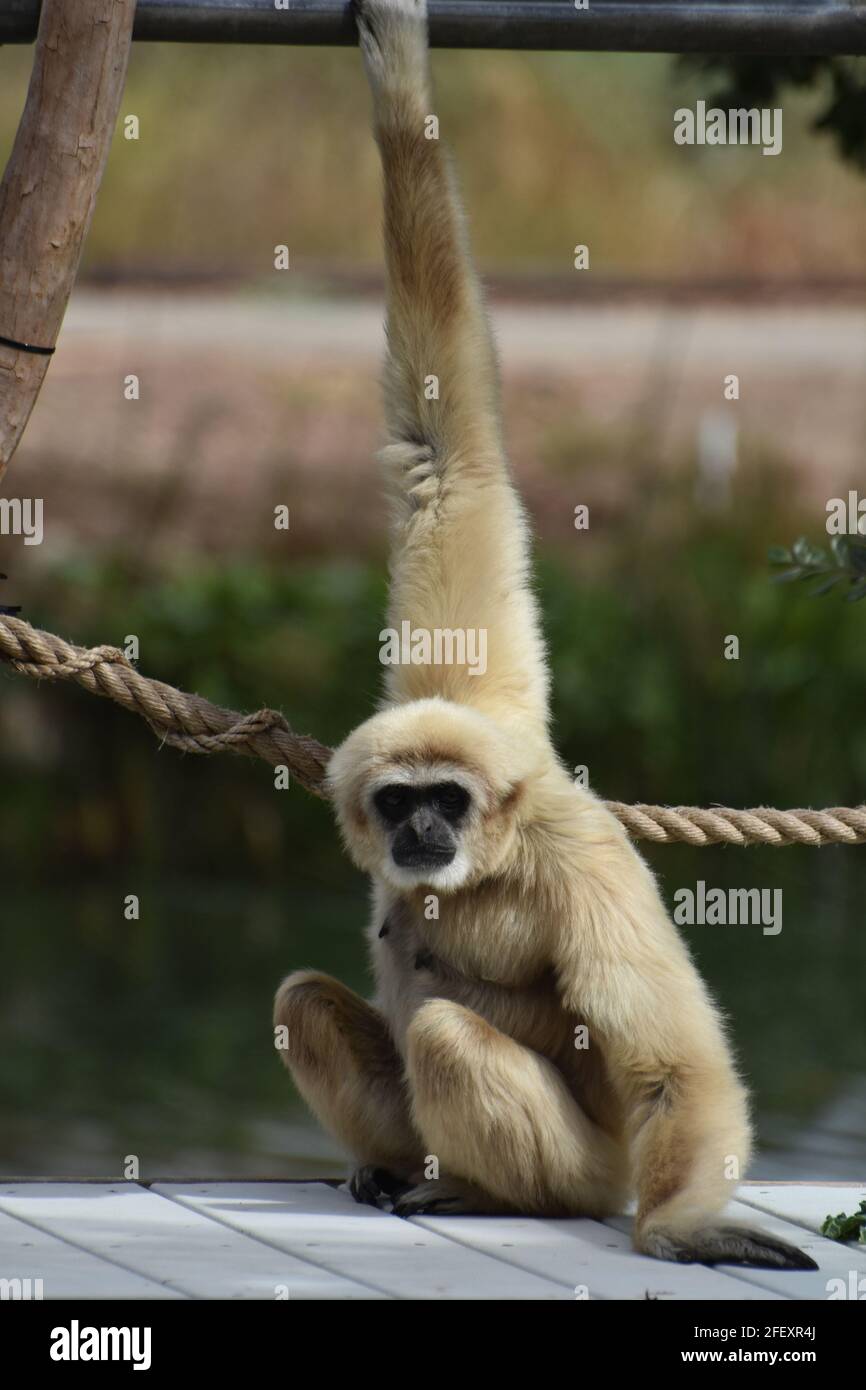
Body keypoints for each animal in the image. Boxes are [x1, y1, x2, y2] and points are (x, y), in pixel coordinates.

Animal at [274, 0, 815, 1270]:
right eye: (395, 799)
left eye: (448, 800)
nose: (418, 826)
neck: (486, 859)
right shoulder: (469, 691)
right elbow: (445, 455)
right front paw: (397, 99)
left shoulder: (574, 848)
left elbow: (668, 1063)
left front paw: (683, 1227)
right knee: (305, 1002)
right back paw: (390, 1169)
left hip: (585, 1166)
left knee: (445, 1038)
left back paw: (486, 1194)